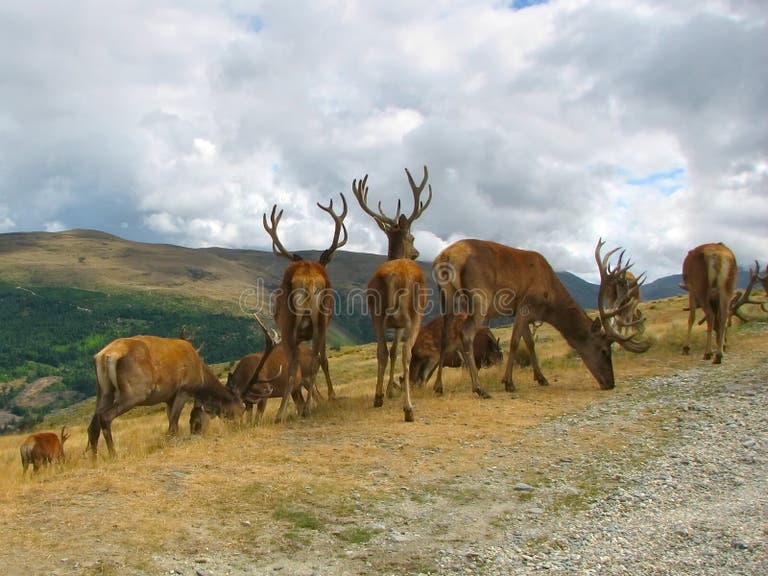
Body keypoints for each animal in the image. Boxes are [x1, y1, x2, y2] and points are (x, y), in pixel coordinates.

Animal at [87, 323, 278, 457]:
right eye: (241, 408)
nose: (240, 428)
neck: (201, 379)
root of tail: (105, 356)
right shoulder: (184, 390)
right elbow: (173, 427)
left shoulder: (168, 397)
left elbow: (172, 424)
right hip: (134, 391)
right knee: (106, 417)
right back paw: (113, 455)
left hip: (103, 389)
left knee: (93, 424)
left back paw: (93, 459)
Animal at [263, 194, 347, 423]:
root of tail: (309, 276)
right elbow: (321, 360)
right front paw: (330, 398)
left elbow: (296, 365)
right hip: (321, 320)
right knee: (317, 358)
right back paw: (308, 407)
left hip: (290, 324)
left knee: (294, 365)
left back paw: (282, 412)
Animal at [352, 166, 432, 421]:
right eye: (413, 237)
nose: (416, 252)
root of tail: (396, 276)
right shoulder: (401, 324)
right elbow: (398, 352)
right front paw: (392, 391)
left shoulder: (392, 324)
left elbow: (392, 352)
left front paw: (385, 392)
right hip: (414, 314)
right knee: (407, 353)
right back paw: (408, 408)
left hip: (376, 312)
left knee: (382, 351)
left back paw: (377, 397)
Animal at [432, 238, 650, 398]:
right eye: (605, 350)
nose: (610, 383)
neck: (549, 303)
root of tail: (446, 257)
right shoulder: (525, 306)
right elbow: (515, 342)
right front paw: (508, 382)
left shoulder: (521, 312)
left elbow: (529, 342)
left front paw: (541, 378)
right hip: (480, 297)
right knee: (466, 333)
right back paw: (479, 388)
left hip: (447, 297)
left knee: (445, 335)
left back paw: (438, 386)